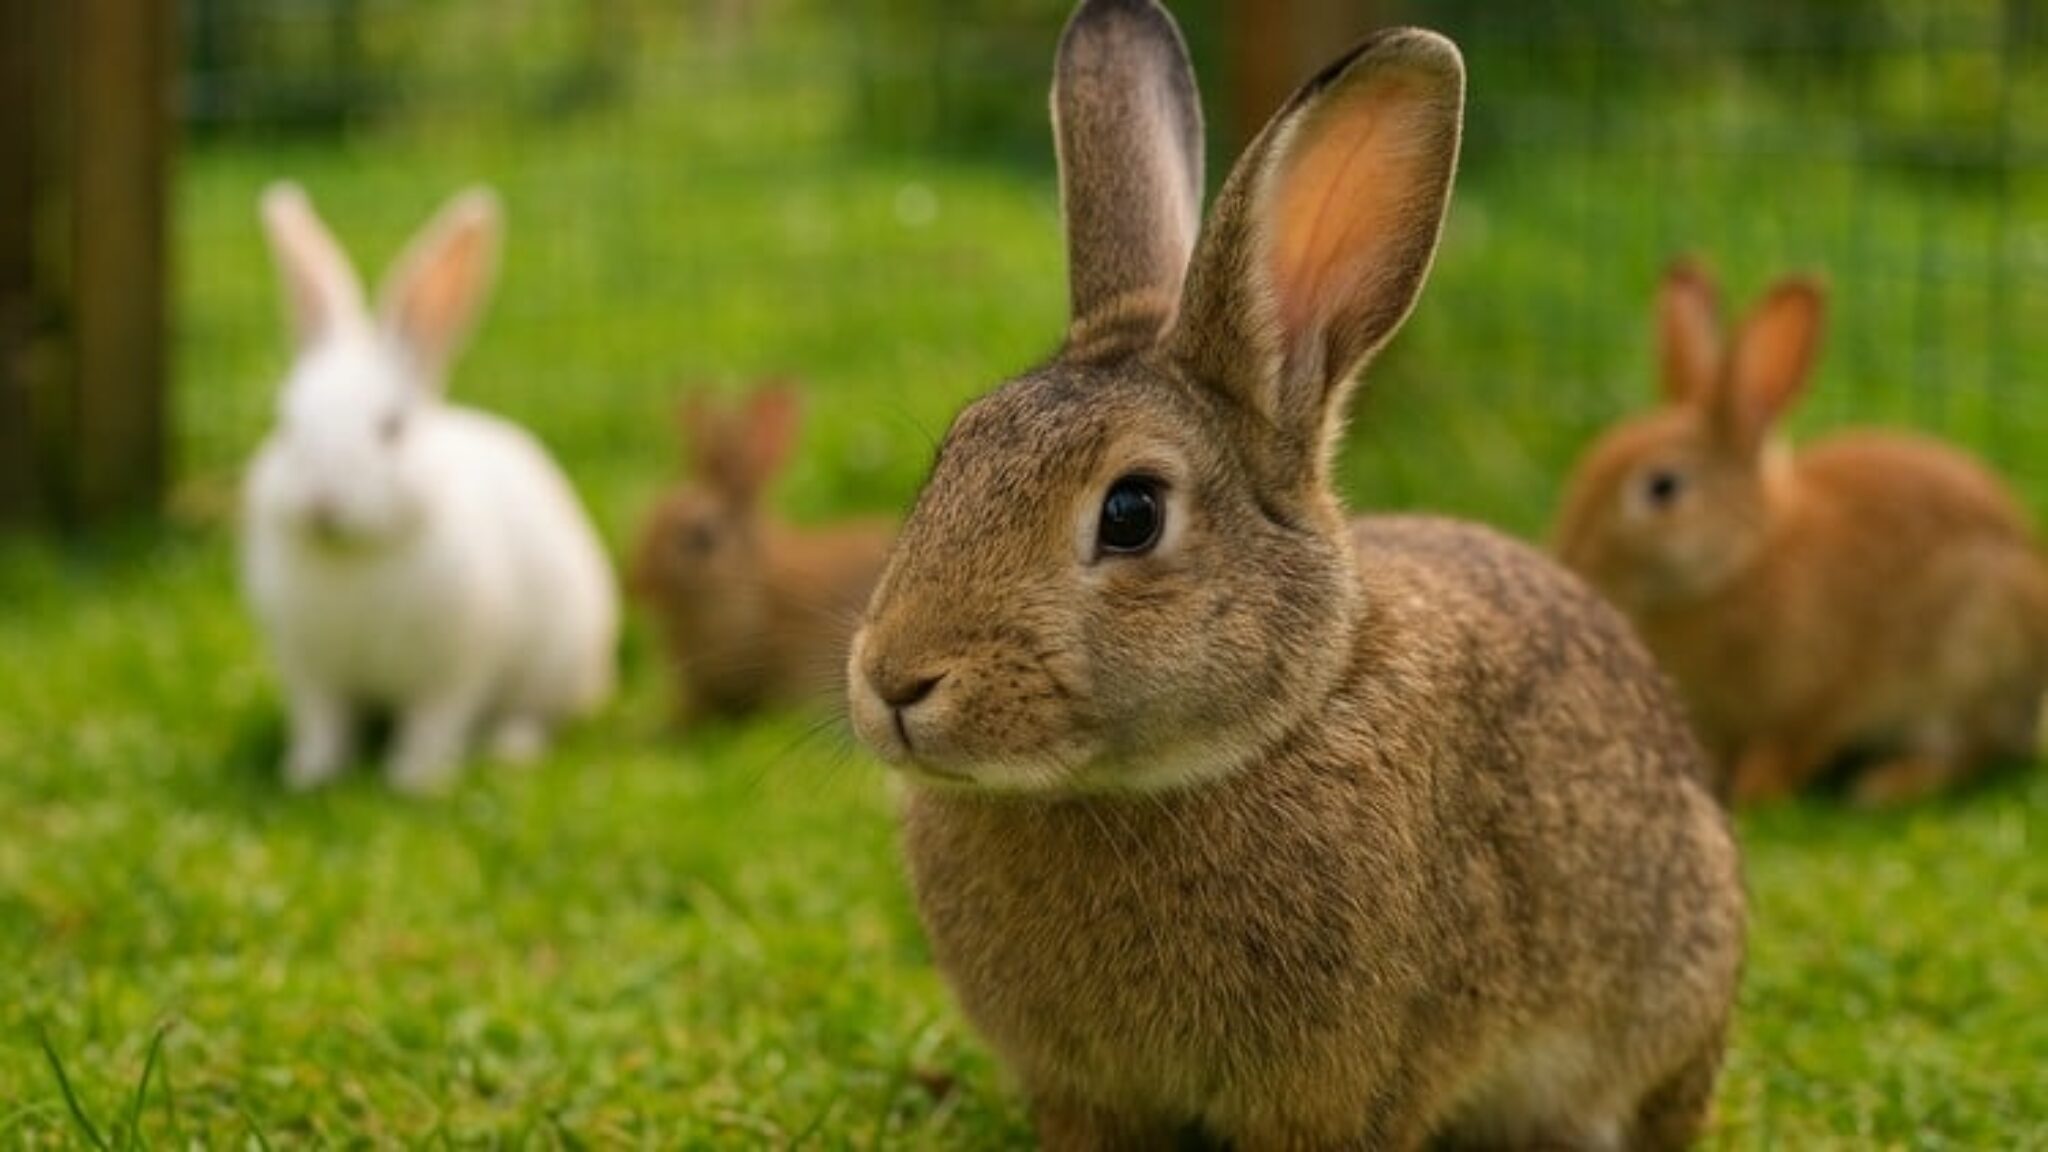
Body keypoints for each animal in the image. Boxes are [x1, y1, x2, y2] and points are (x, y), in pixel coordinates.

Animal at [242, 183, 619, 795]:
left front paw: (414, 779)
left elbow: (433, 723)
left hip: (554, 666)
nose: (322, 503)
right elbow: (323, 725)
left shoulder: (454, 669)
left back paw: (512, 750)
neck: (356, 556)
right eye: (288, 424)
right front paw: (309, 775)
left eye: (391, 428)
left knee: (533, 716)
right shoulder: (311, 673)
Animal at [1556, 261, 2048, 808]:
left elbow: (1794, 743)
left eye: (1662, 487)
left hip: (1974, 655)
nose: (1572, 559)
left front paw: (1756, 789)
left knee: (1970, 751)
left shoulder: (1819, 693)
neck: (1740, 561)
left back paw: (1889, 783)